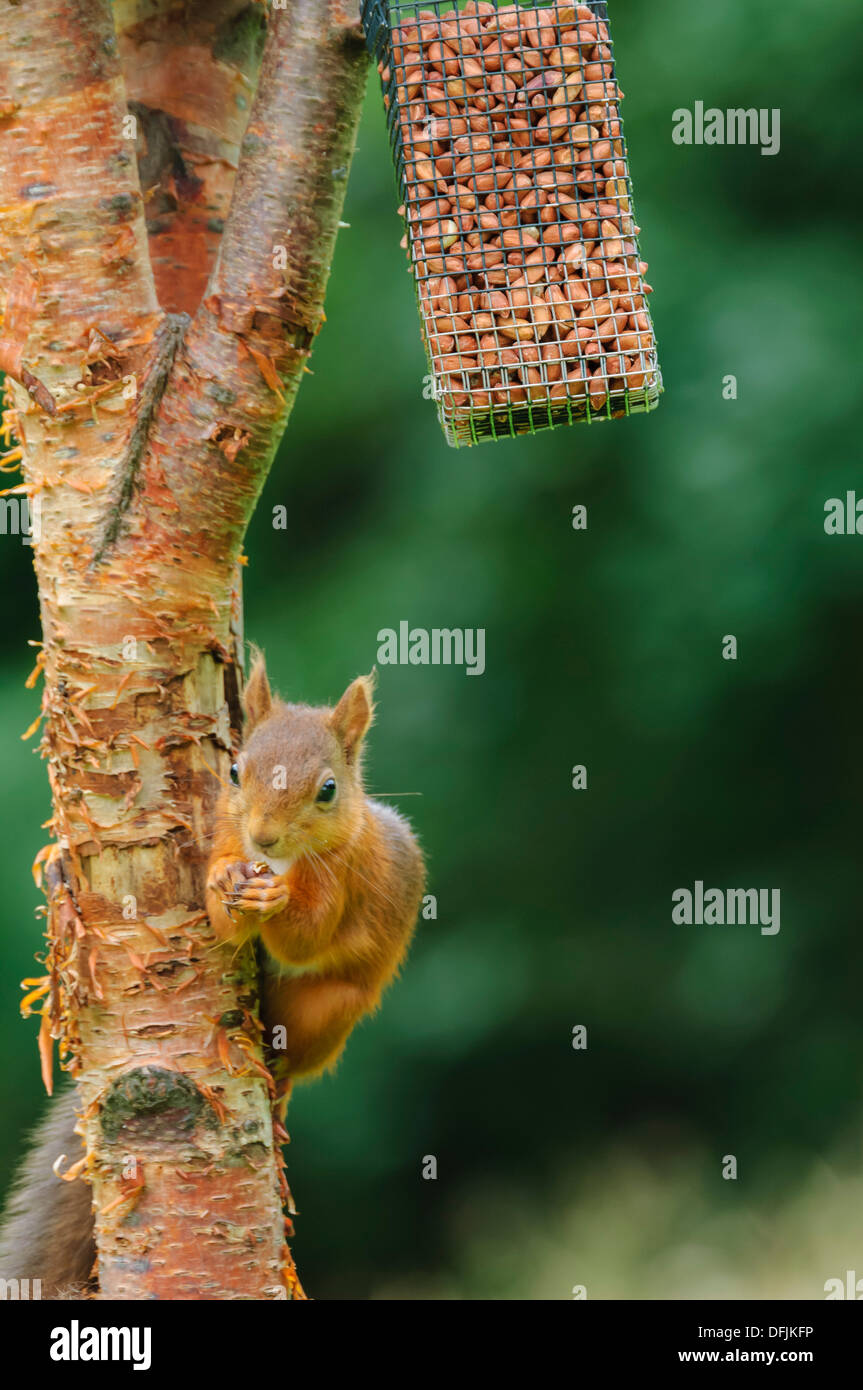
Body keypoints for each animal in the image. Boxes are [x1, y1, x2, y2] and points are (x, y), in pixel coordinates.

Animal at [0, 656, 424, 1297]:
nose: (264, 837)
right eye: (233, 770)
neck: (274, 860)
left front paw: (275, 901)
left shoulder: (341, 877)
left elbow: (308, 937)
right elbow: (221, 920)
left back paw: (278, 1068)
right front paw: (227, 880)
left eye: (328, 790)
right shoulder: (225, 839)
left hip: (329, 1009)